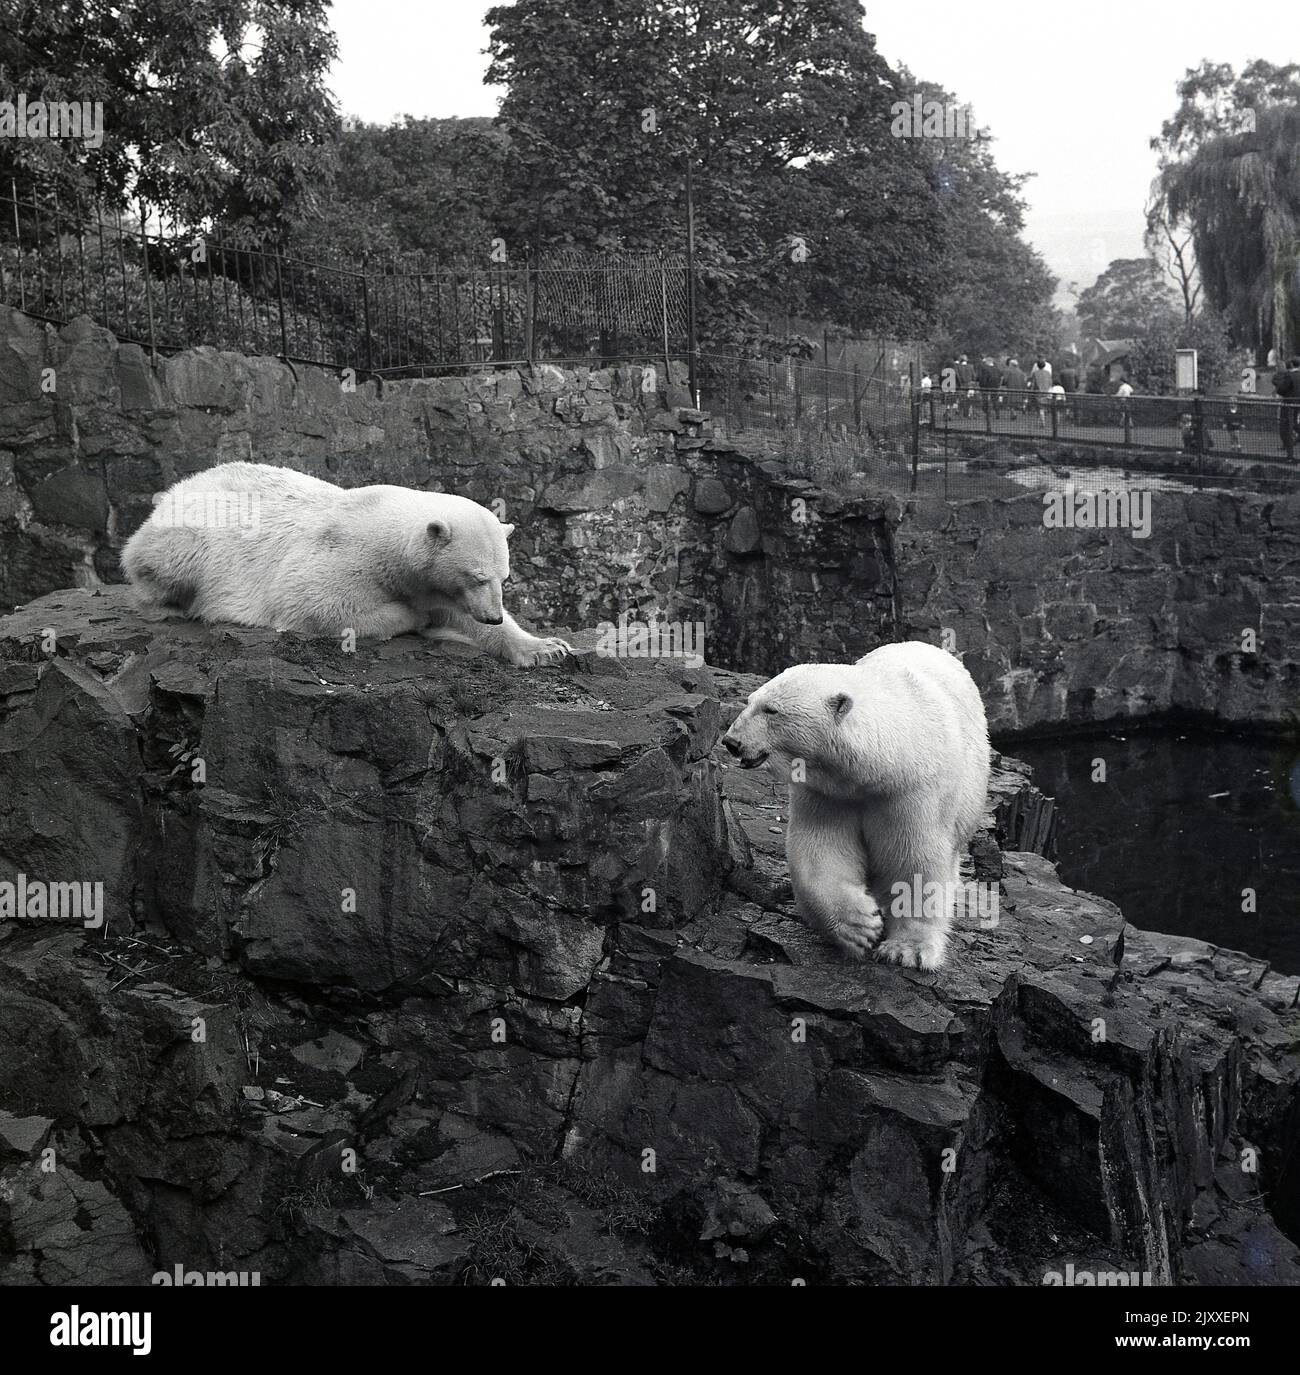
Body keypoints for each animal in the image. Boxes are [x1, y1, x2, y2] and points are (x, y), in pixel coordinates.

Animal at [121, 462, 572, 668]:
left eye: (504, 578)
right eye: (477, 576)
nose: (493, 615)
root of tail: (175, 490)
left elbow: (457, 612)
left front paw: (546, 648)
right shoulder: (342, 554)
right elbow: (319, 605)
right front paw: (414, 617)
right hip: (183, 540)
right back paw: (169, 606)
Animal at [721, 640, 990, 970]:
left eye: (771, 710)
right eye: (750, 701)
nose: (732, 742)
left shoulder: (916, 794)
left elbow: (916, 862)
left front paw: (907, 950)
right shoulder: (829, 794)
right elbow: (821, 850)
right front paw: (859, 925)